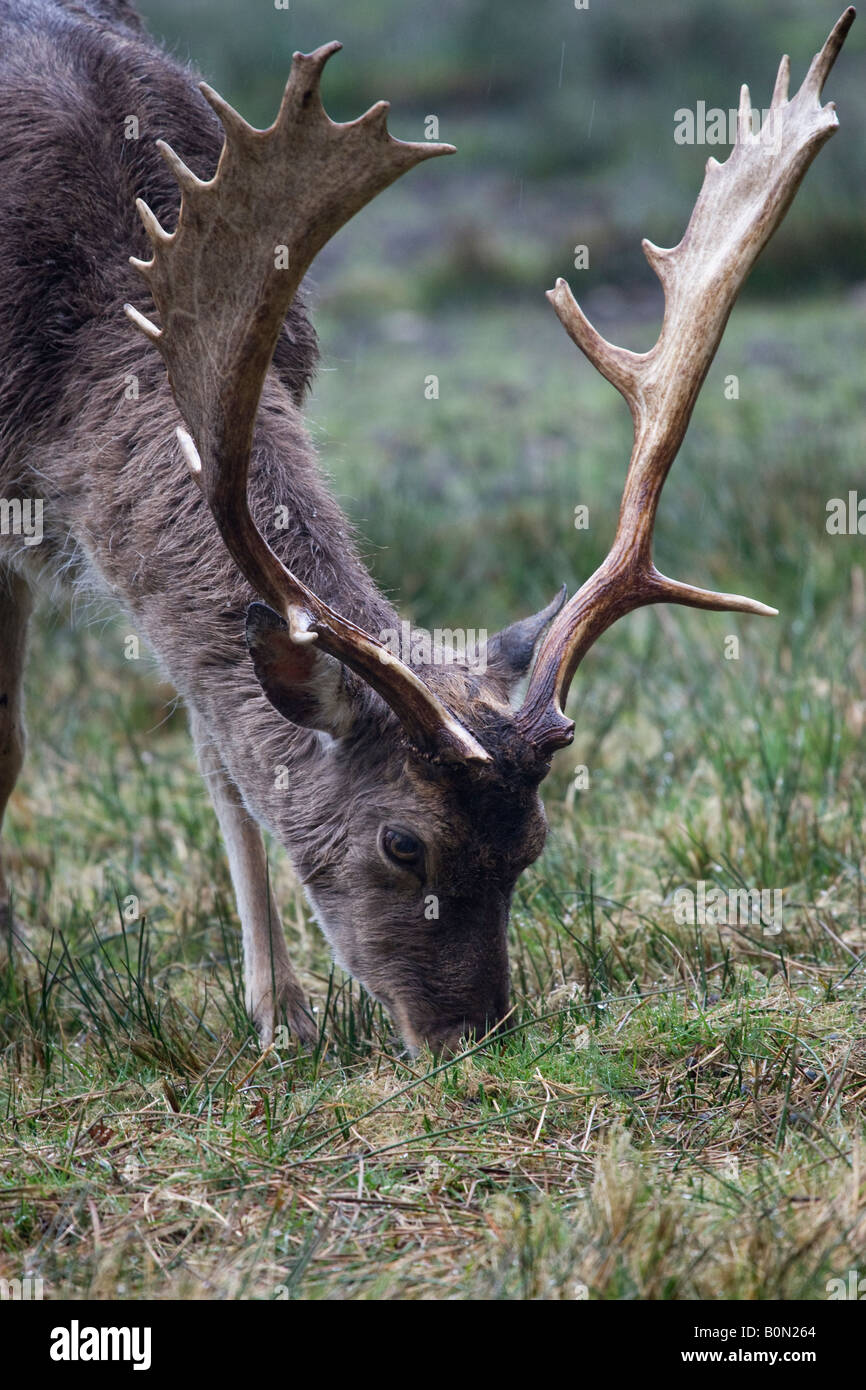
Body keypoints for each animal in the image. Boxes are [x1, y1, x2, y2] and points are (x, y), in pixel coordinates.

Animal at [0, 1, 854, 1053]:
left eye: (533, 845)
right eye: (403, 843)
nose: (474, 1035)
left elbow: (224, 750)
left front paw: (280, 1017)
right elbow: (12, 745)